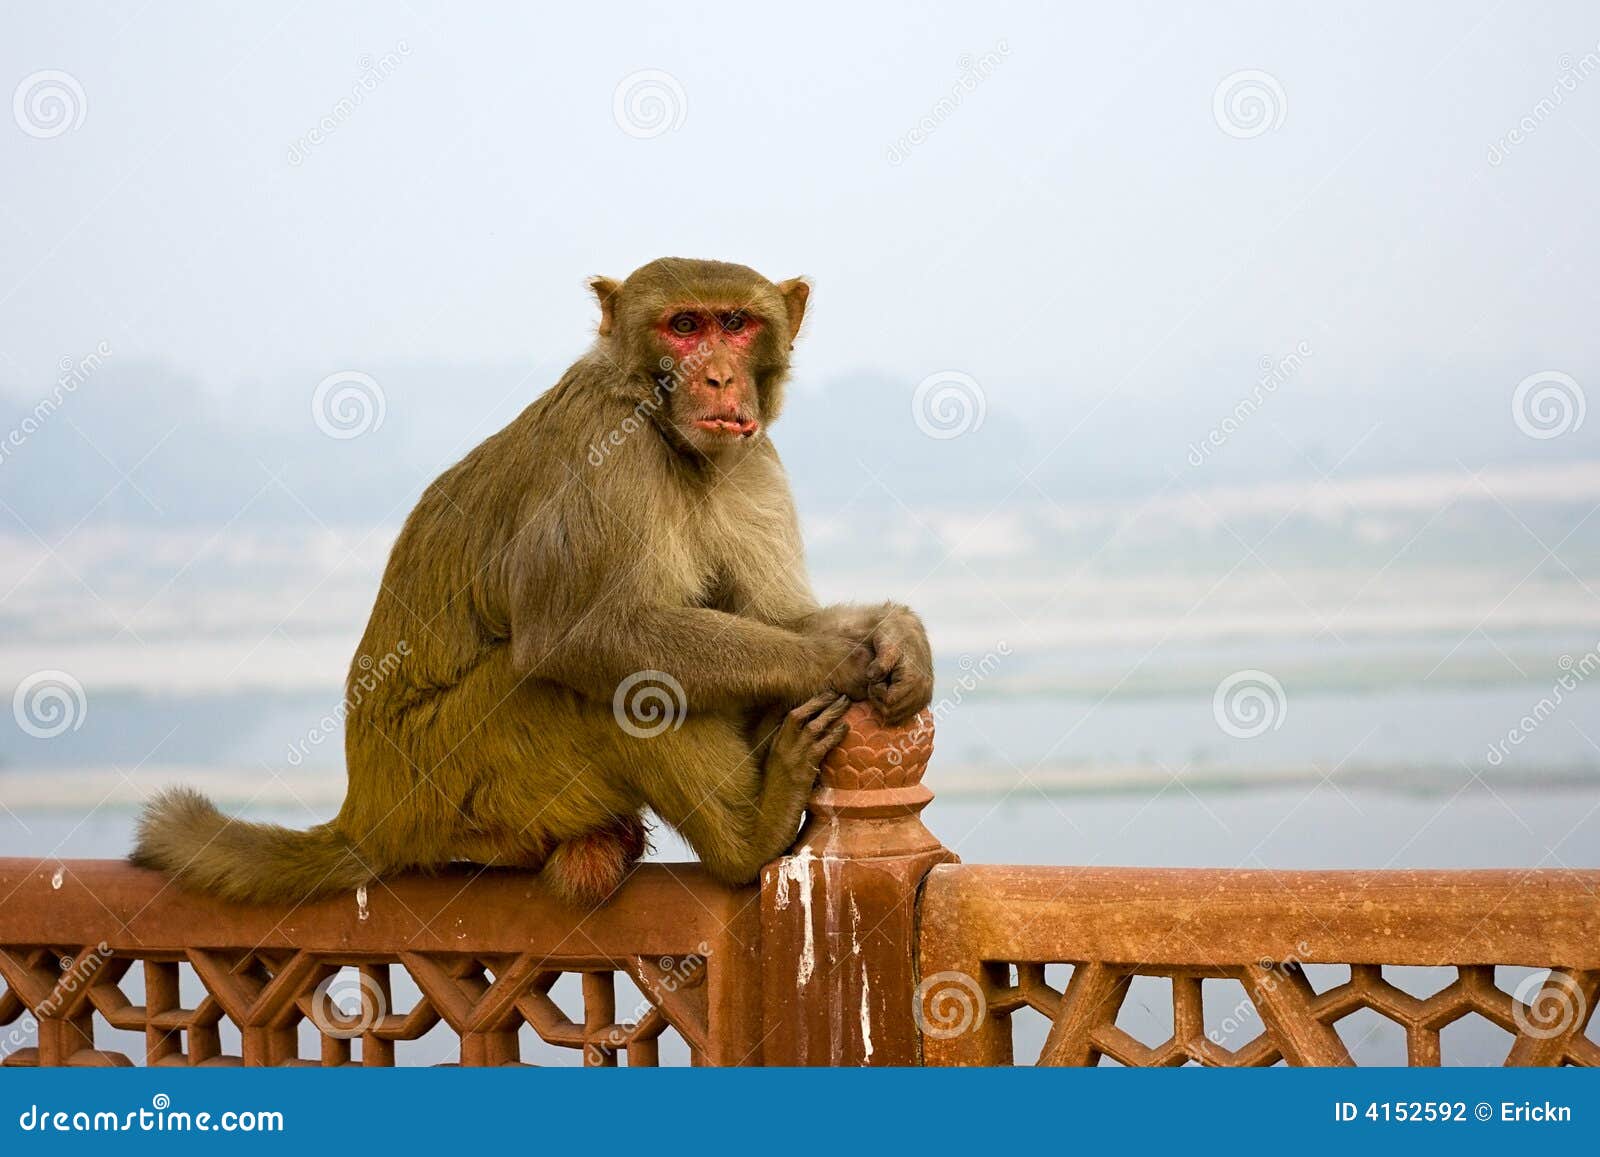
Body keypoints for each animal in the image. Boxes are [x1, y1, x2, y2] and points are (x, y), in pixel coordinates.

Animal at [131, 258, 934, 908]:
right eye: (684, 326)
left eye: (736, 324)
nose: (717, 376)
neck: (660, 426)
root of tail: (368, 810)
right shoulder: (604, 453)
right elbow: (583, 636)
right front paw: (840, 660)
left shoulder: (752, 459)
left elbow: (772, 612)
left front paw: (896, 636)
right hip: (463, 768)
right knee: (624, 683)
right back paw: (749, 839)